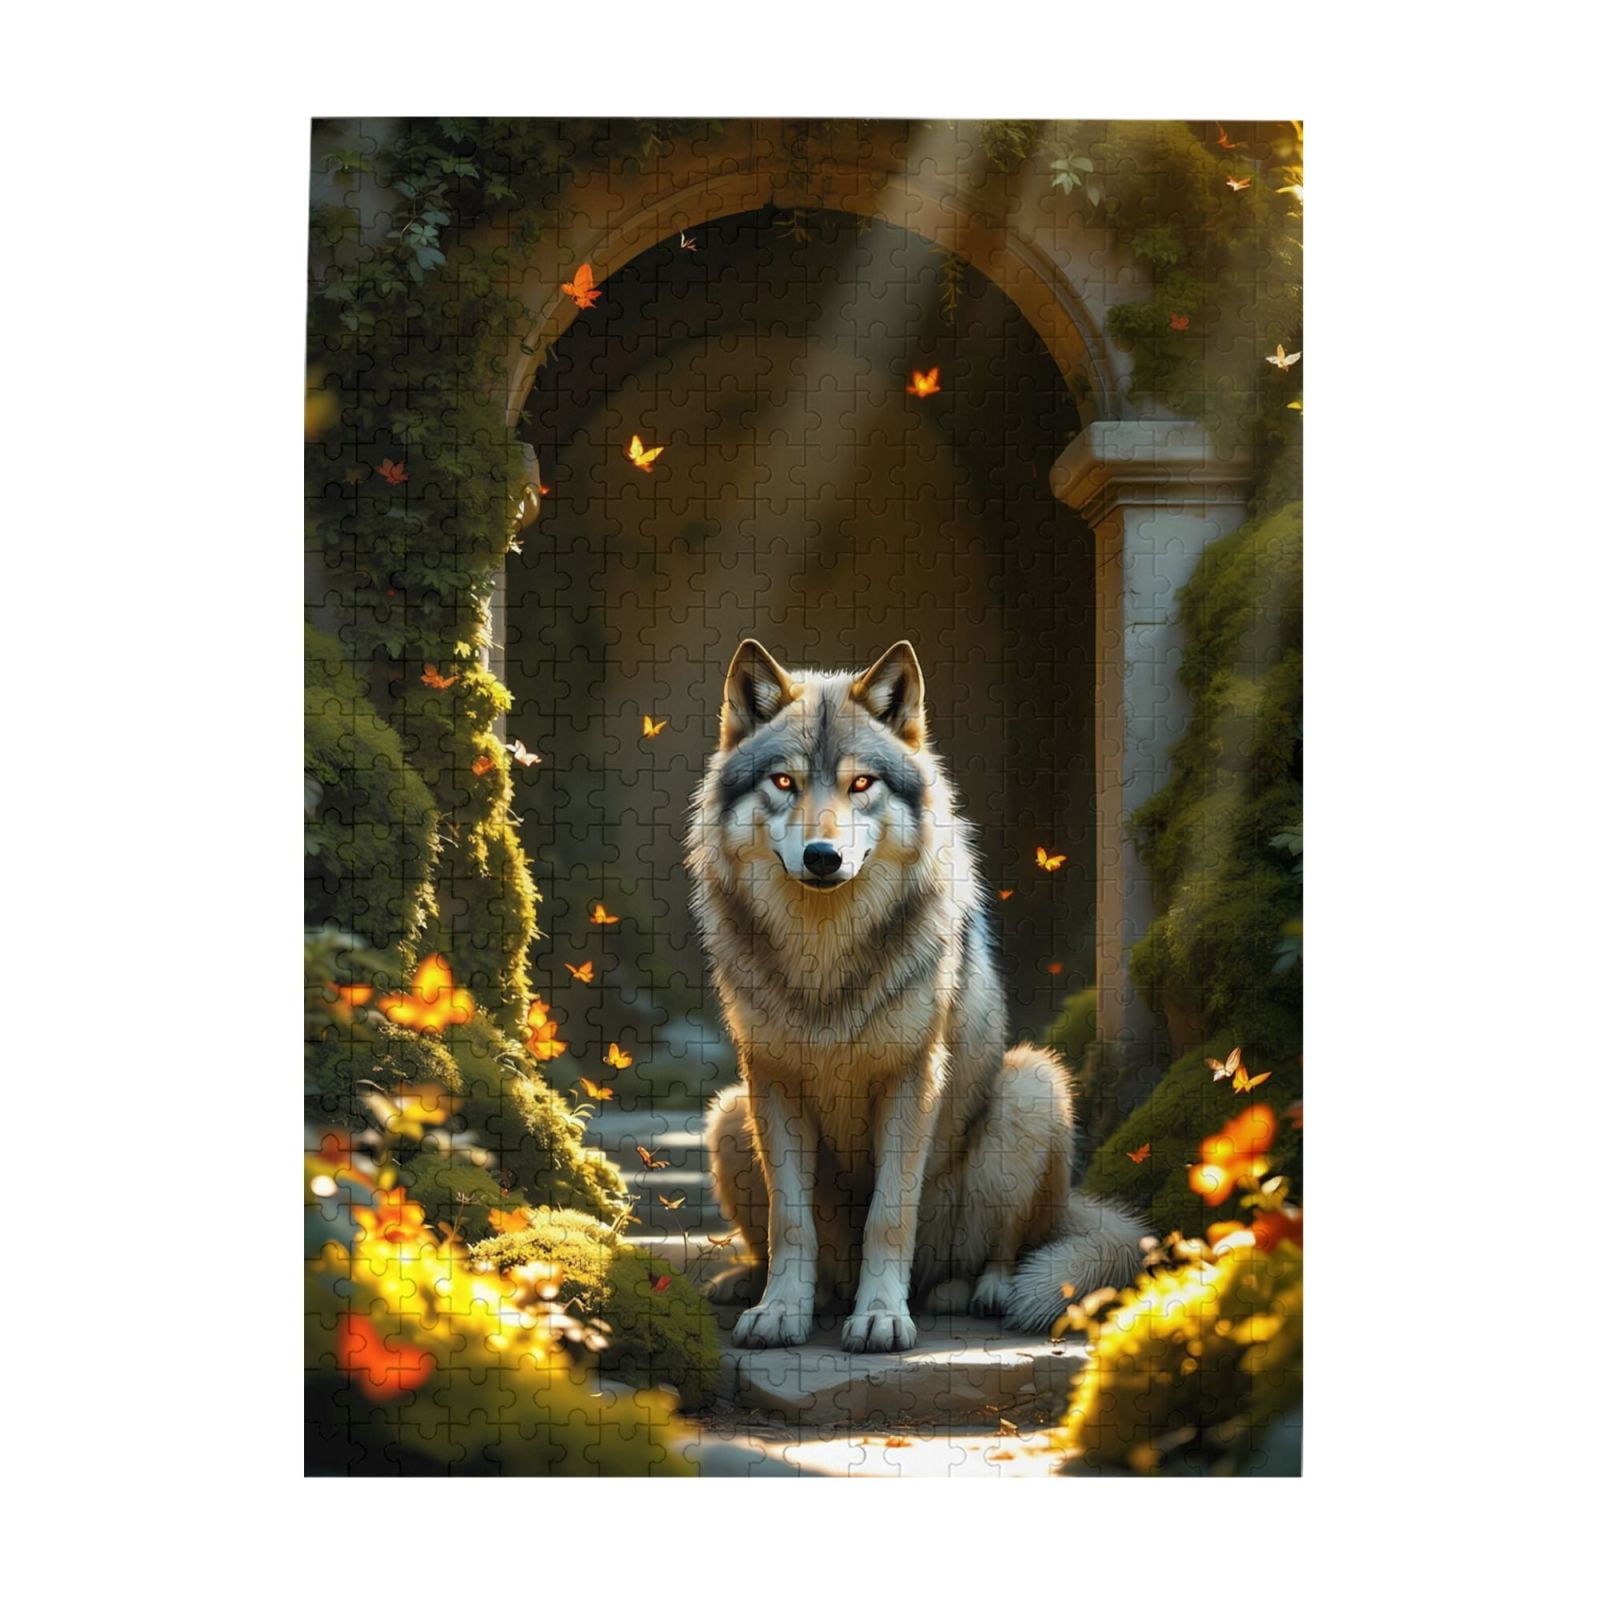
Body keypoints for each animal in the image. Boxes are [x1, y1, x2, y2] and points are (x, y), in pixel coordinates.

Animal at [687, 638, 1146, 1353]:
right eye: (785, 782)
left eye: (861, 784)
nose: (822, 856)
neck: (824, 954)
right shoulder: (770, 1079)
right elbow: (789, 1223)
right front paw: (779, 1312)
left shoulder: (912, 1077)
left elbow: (889, 1214)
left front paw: (880, 1317)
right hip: (729, 1114)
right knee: (793, 1251)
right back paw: (766, 1286)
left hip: (1032, 1086)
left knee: (995, 1256)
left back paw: (981, 1292)